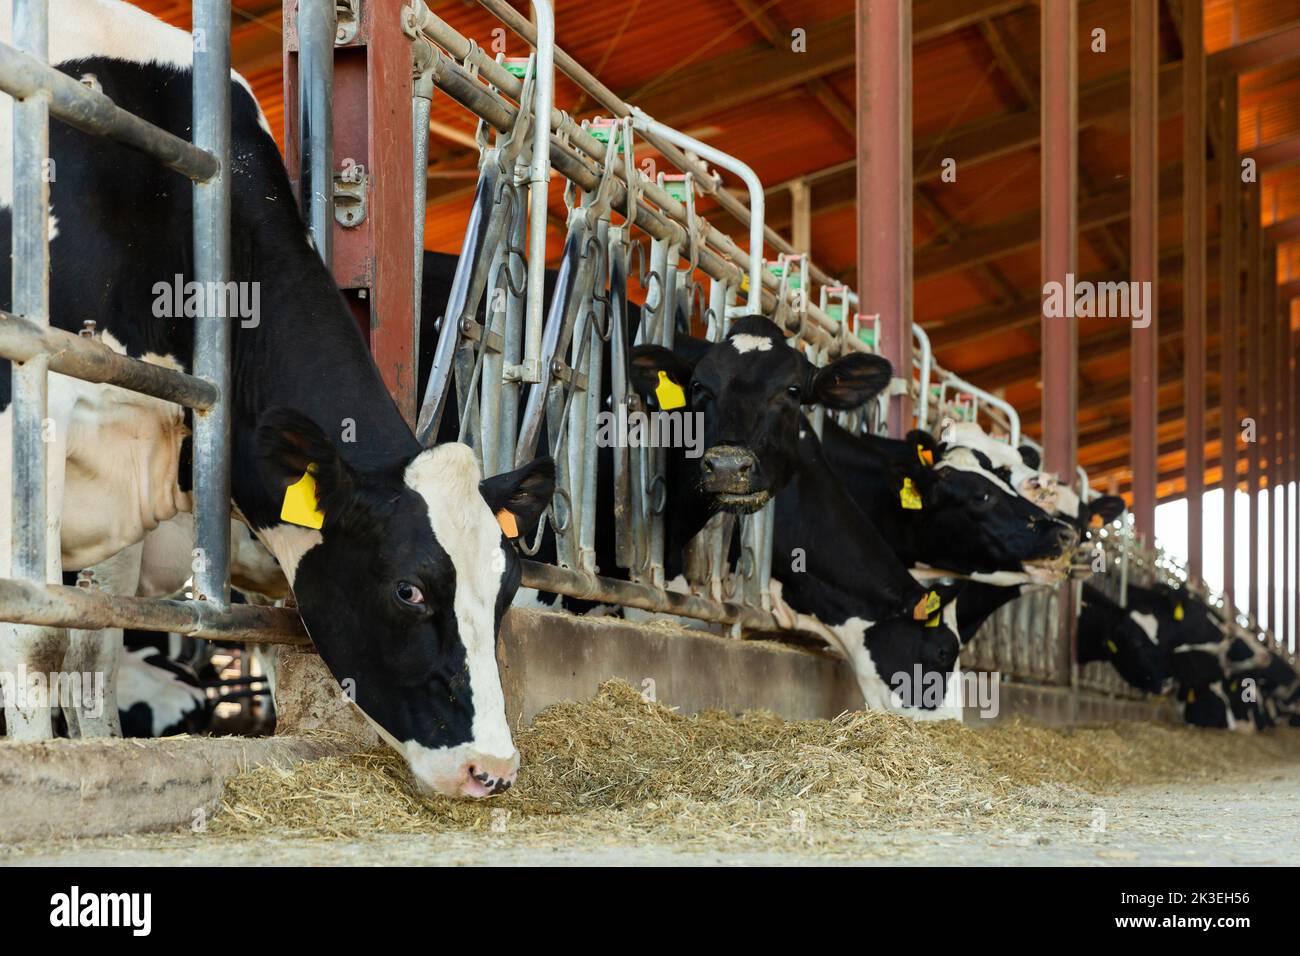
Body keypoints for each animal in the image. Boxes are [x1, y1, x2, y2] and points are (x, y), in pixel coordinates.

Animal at [0, 0, 553, 799]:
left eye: (506, 587)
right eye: (409, 591)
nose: (493, 769)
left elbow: (93, 645)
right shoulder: (34, 402)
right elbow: (37, 636)